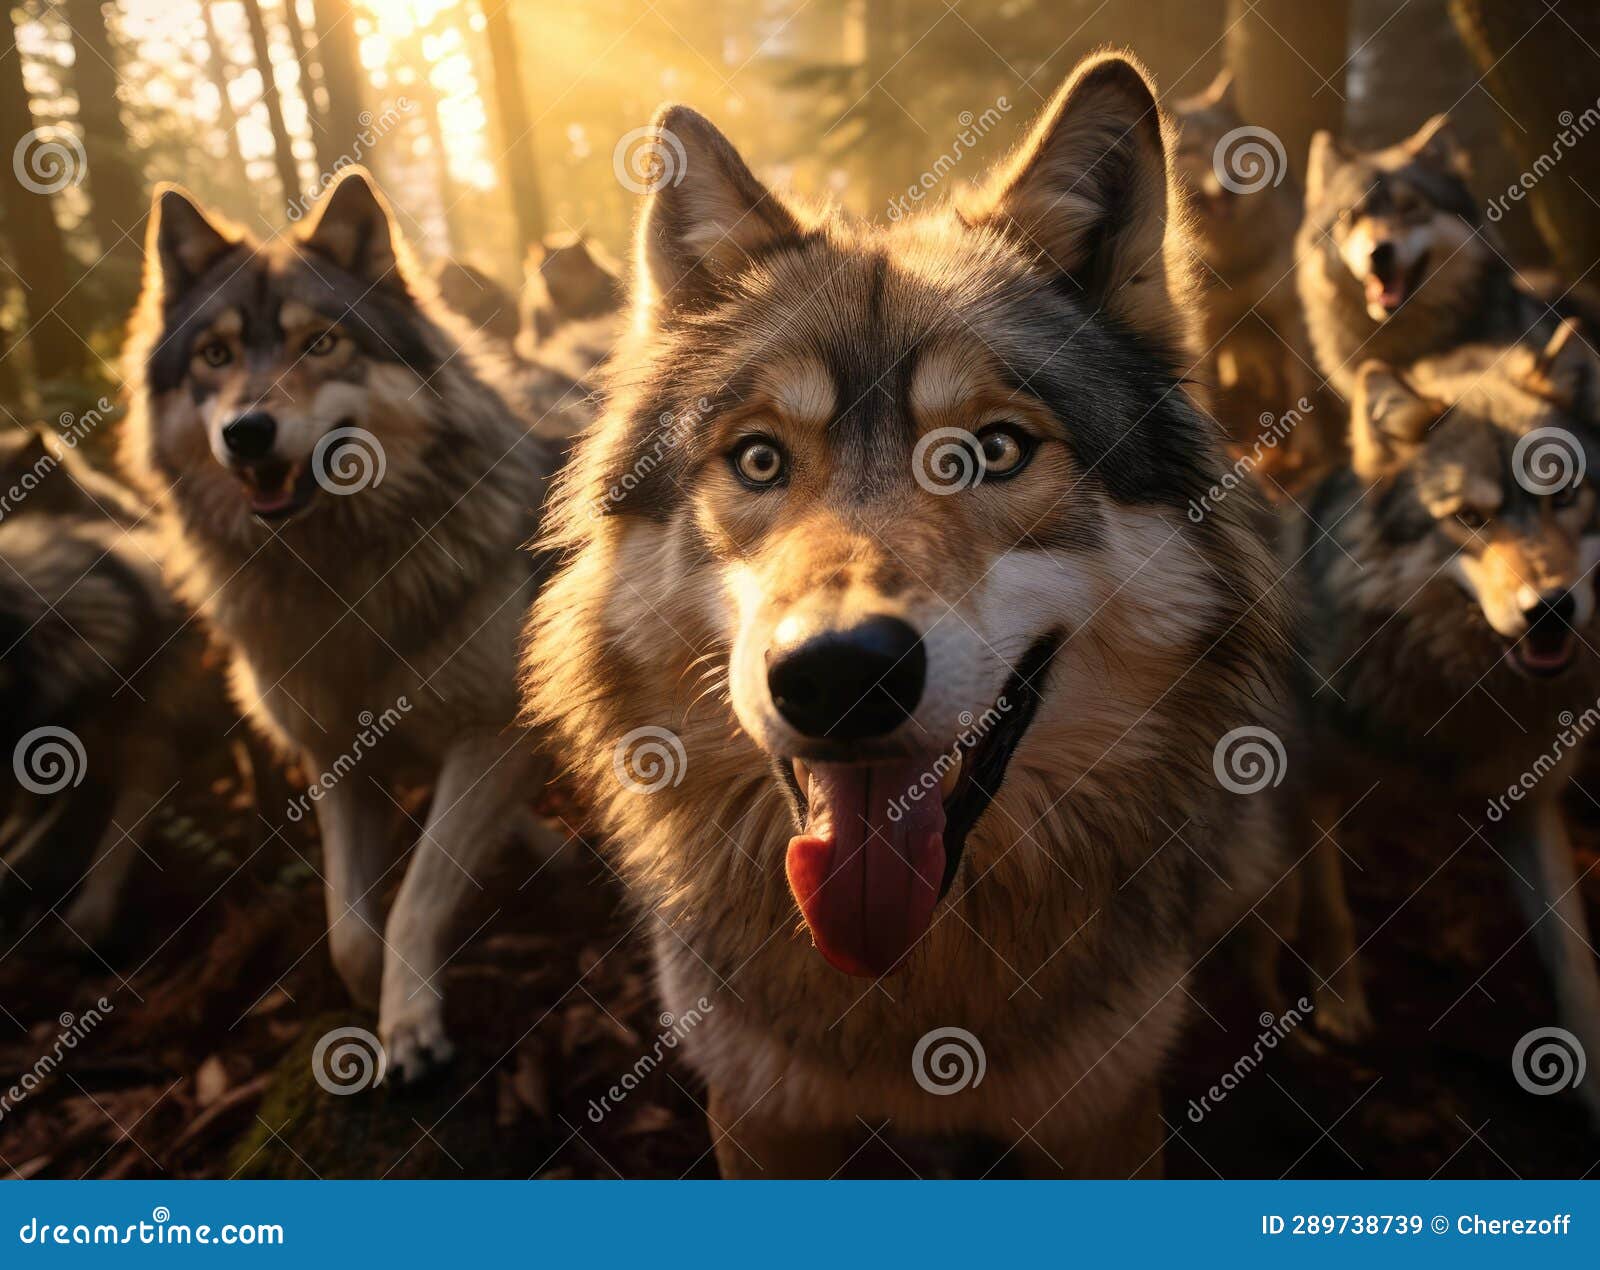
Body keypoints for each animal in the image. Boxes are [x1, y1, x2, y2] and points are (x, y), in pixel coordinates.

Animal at [120, 167, 572, 1081]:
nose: (246, 432)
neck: (340, 584)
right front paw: (374, 1003)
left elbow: (416, 896)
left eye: (319, 345)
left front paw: (410, 1026)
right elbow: (347, 926)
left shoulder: (491, 732)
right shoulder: (335, 761)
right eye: (216, 356)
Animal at [523, 53, 1293, 1177]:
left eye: (992, 451)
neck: (910, 995)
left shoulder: (1101, 1116)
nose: (840, 672)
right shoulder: (760, 1115)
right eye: (760, 460)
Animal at [1279, 321, 1600, 1123]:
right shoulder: (1309, 775)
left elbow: (1576, 963)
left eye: (1565, 496)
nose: (1551, 609)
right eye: (1469, 520)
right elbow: (1330, 906)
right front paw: (1341, 1010)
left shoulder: (1531, 805)